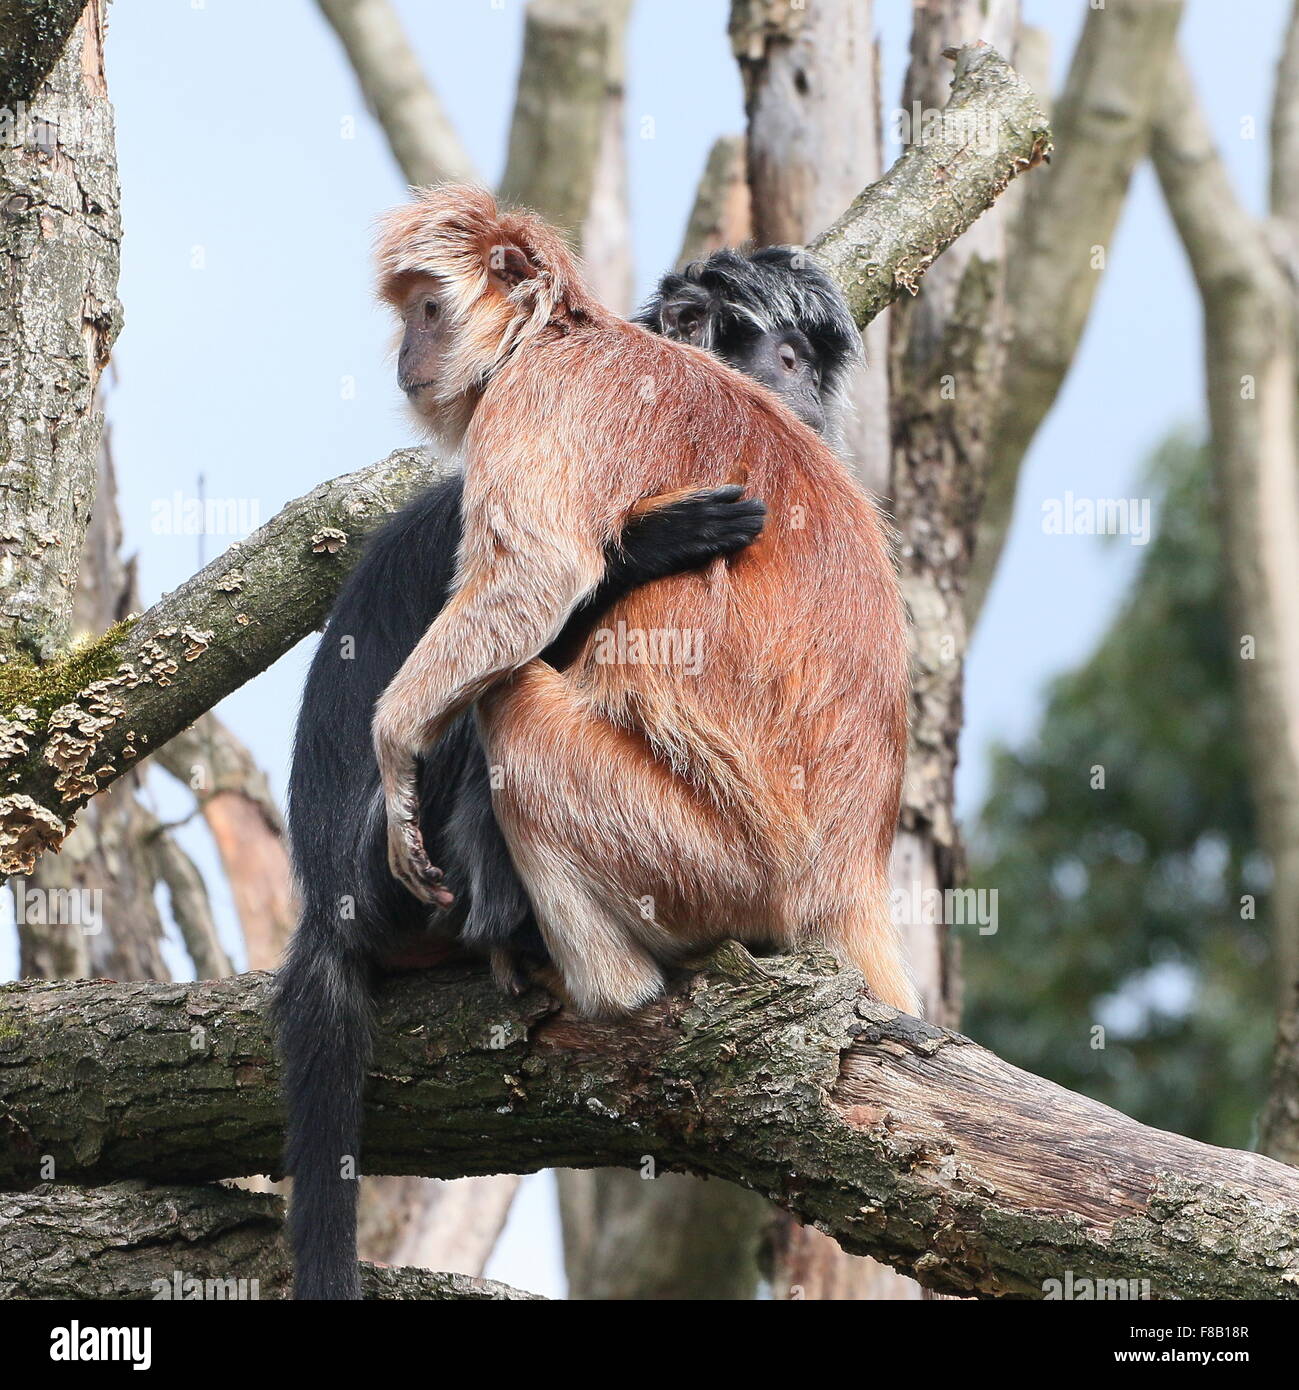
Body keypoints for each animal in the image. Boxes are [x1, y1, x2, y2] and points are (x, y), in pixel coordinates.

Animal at [275, 230, 868, 1299]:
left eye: (799, 358)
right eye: (690, 327)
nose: (784, 384)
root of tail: (324, 902)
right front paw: (648, 544)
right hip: (388, 872)